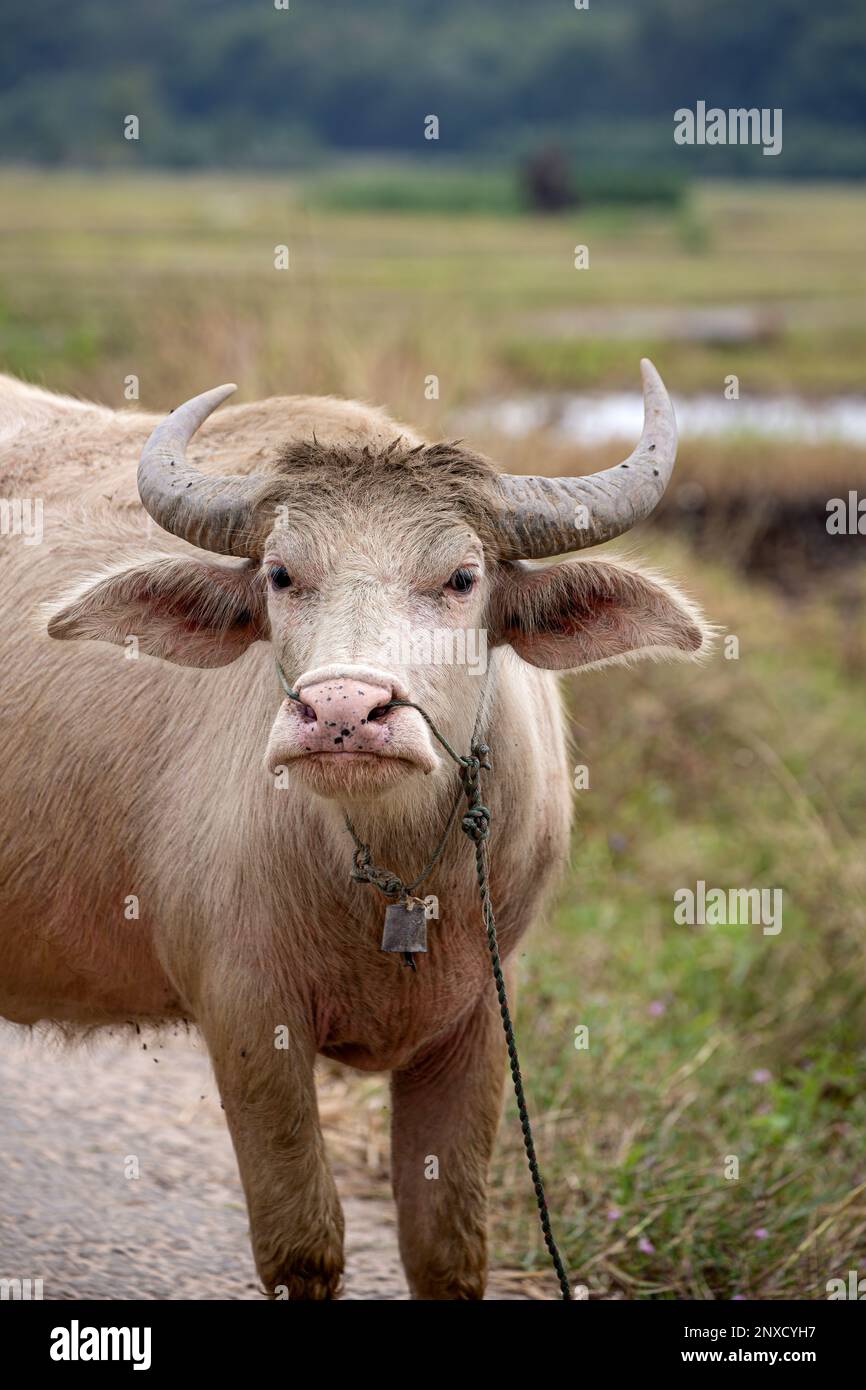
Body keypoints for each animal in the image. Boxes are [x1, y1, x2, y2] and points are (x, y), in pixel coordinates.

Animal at [0, 360, 708, 1299]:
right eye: (279, 575)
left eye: (462, 579)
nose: (341, 712)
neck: (397, 877)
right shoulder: (247, 1016)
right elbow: (302, 1242)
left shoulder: (480, 1020)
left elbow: (448, 1247)